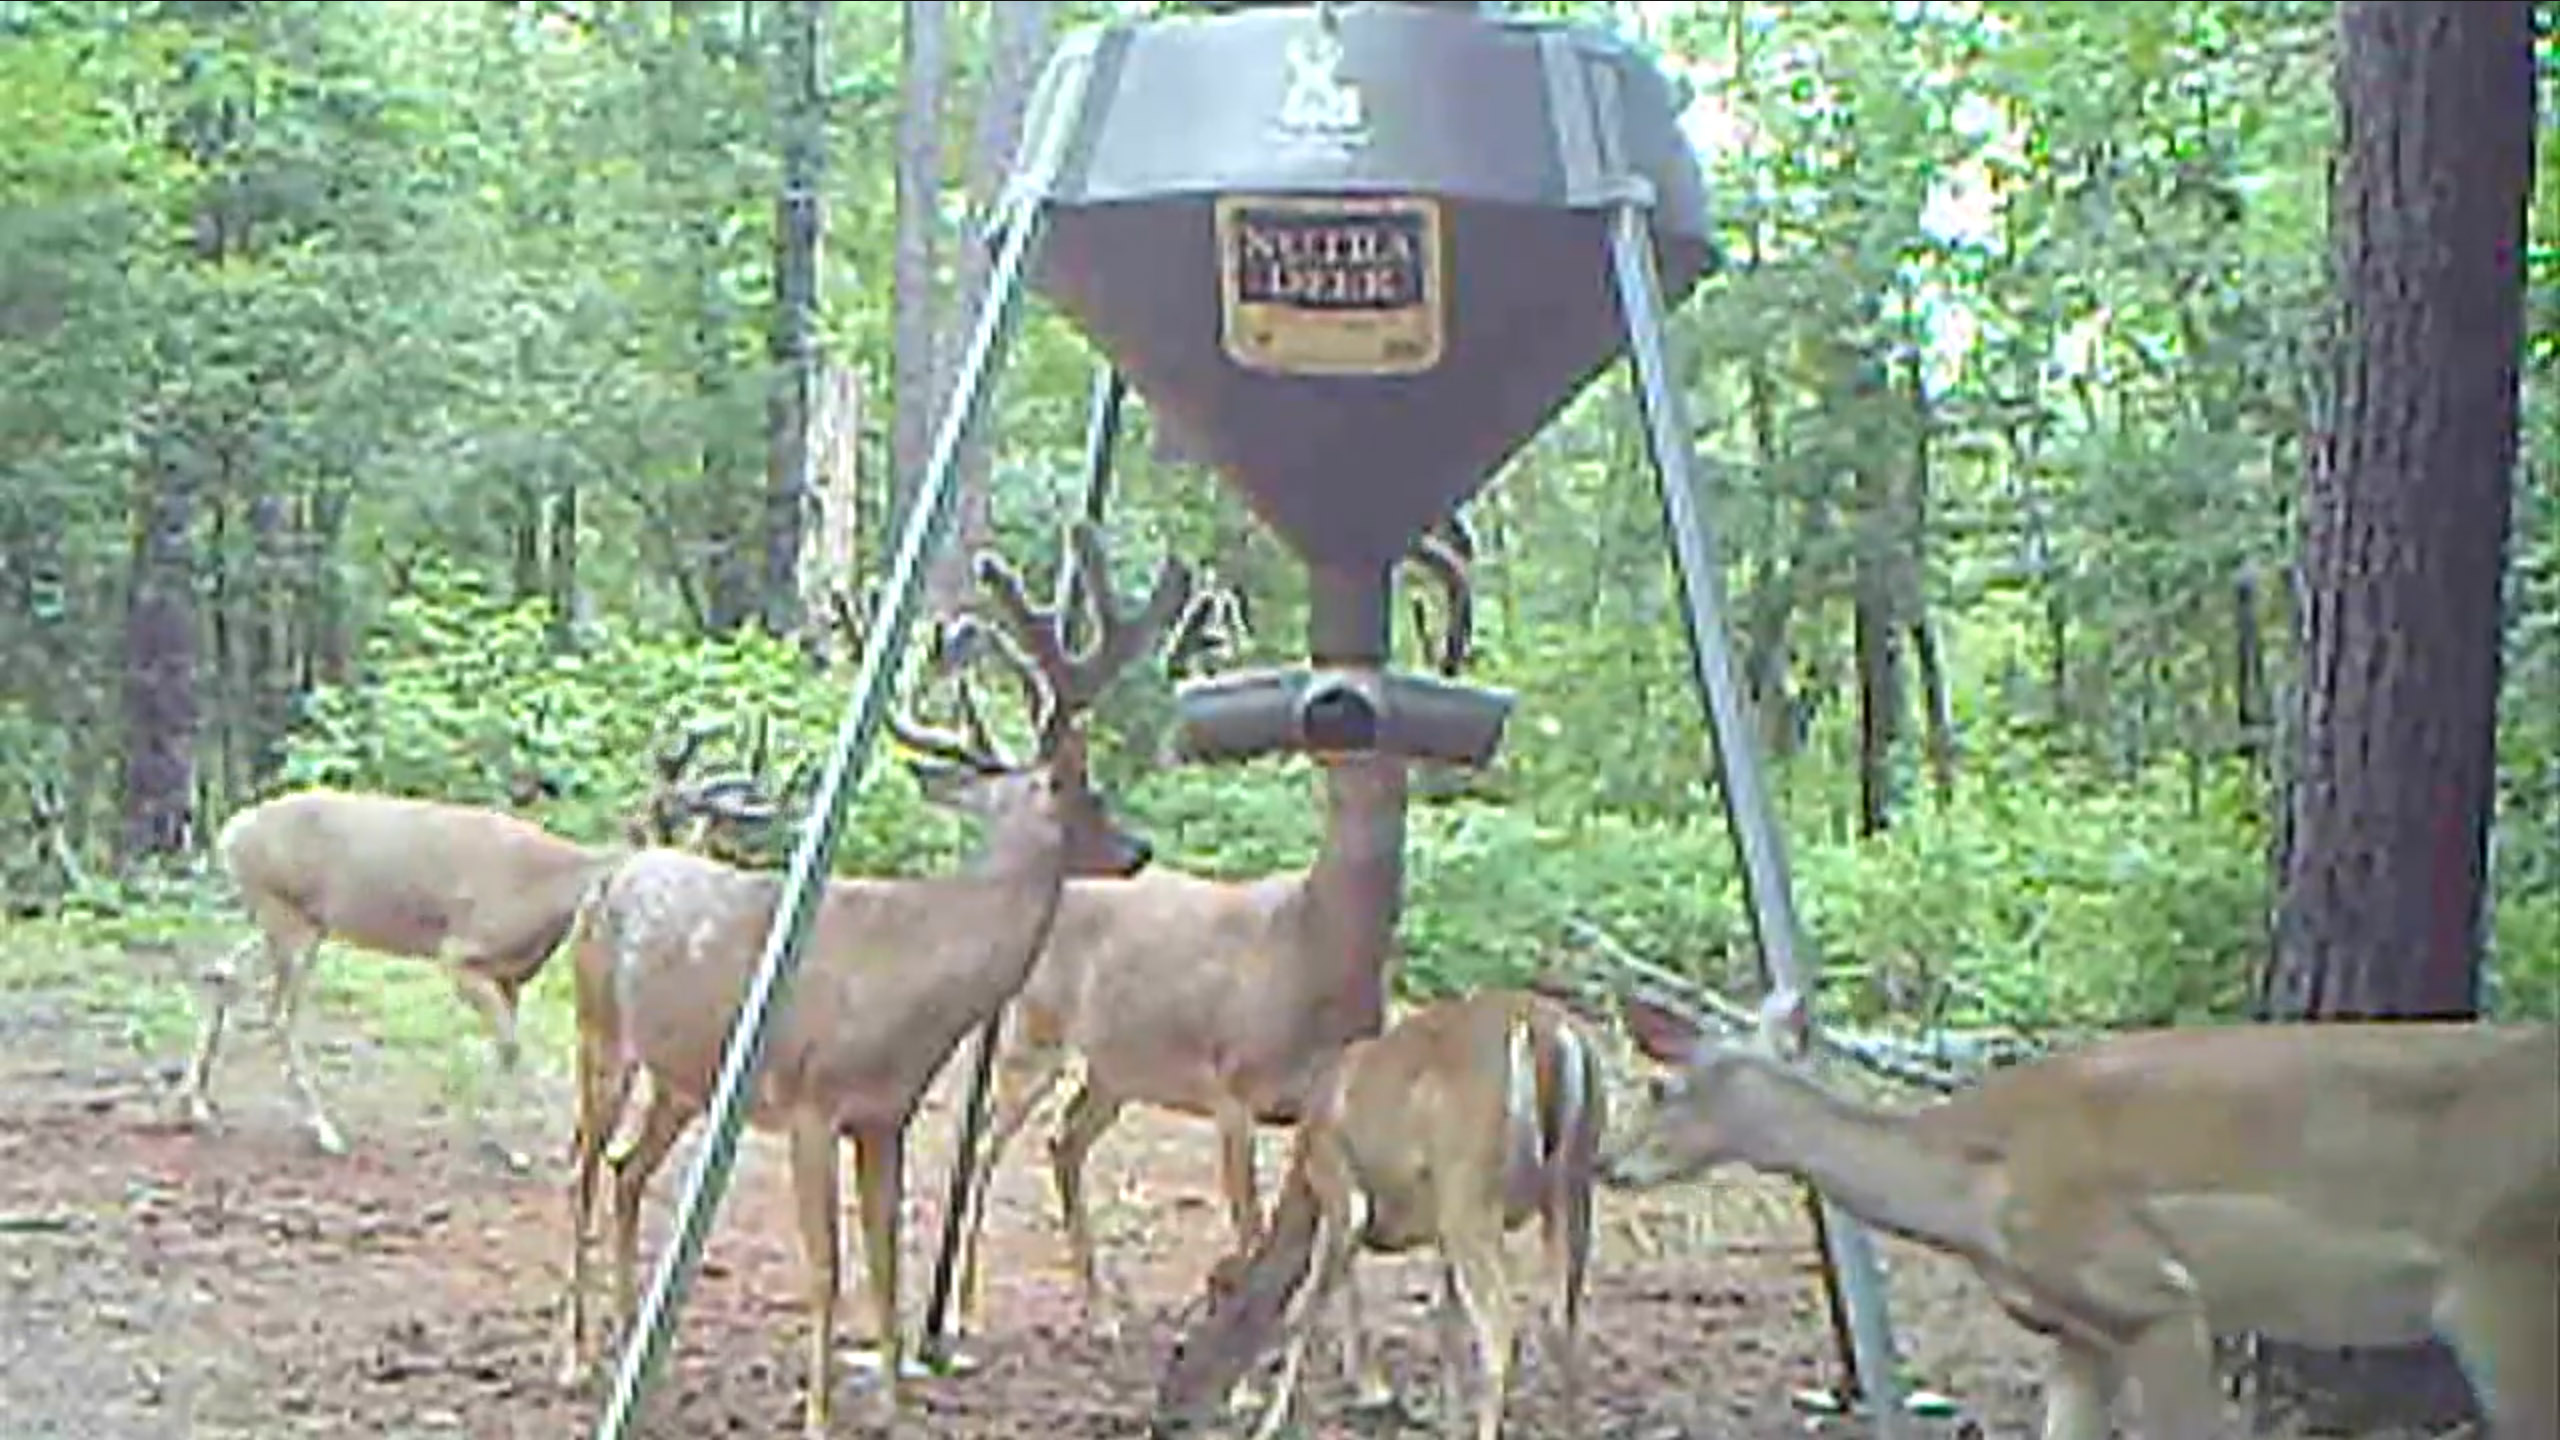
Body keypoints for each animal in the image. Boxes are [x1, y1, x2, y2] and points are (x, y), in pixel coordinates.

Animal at [174, 724, 778, 1169]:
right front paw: (516, 1148)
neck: (548, 890)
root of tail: (228, 832)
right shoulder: (460, 953)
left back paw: (197, 1108)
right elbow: (511, 1046)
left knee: (222, 973)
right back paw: (325, 1131)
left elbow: (506, 1045)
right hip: (290, 923)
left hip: (289, 919)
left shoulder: (511, 977)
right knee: (276, 1011)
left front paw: (502, 1136)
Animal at [552, 521, 1194, 1438]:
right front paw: (821, 1413)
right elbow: (827, 1266)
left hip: (686, 1080)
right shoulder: (811, 1104)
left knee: (624, 1169)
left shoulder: (886, 1116)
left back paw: (631, 1336)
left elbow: (890, 1259)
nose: (1140, 848)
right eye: (1088, 794)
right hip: (598, 1030)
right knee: (580, 1164)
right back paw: (574, 1356)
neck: (911, 986)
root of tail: (614, 871)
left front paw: (895, 1401)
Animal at [946, 526, 1478, 1342]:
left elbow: (1330, 1250)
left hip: (1117, 1067)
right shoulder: (1234, 1087)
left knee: (1065, 1141)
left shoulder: (1322, 1104)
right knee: (985, 1143)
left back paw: (1101, 1309)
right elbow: (1252, 1232)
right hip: (1036, 1029)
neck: (1313, 953)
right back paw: (965, 1311)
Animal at [1148, 988, 1605, 1440]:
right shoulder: (1434, 1229)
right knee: (1562, 1321)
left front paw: (1269, 1423)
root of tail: (1560, 1039)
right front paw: (1439, 1416)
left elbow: (1307, 1309)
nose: (1165, 1411)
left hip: (1470, 1189)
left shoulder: (1341, 1188)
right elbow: (1445, 1323)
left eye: (1186, 1346)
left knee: (1501, 1325)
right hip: (1572, 1182)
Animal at [1600, 994, 2560, 1439]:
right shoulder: (2077, 1331)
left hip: (2509, 1287)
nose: (1609, 1163)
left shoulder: (2157, 1291)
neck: (1973, 1191)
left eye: (1657, 1088)